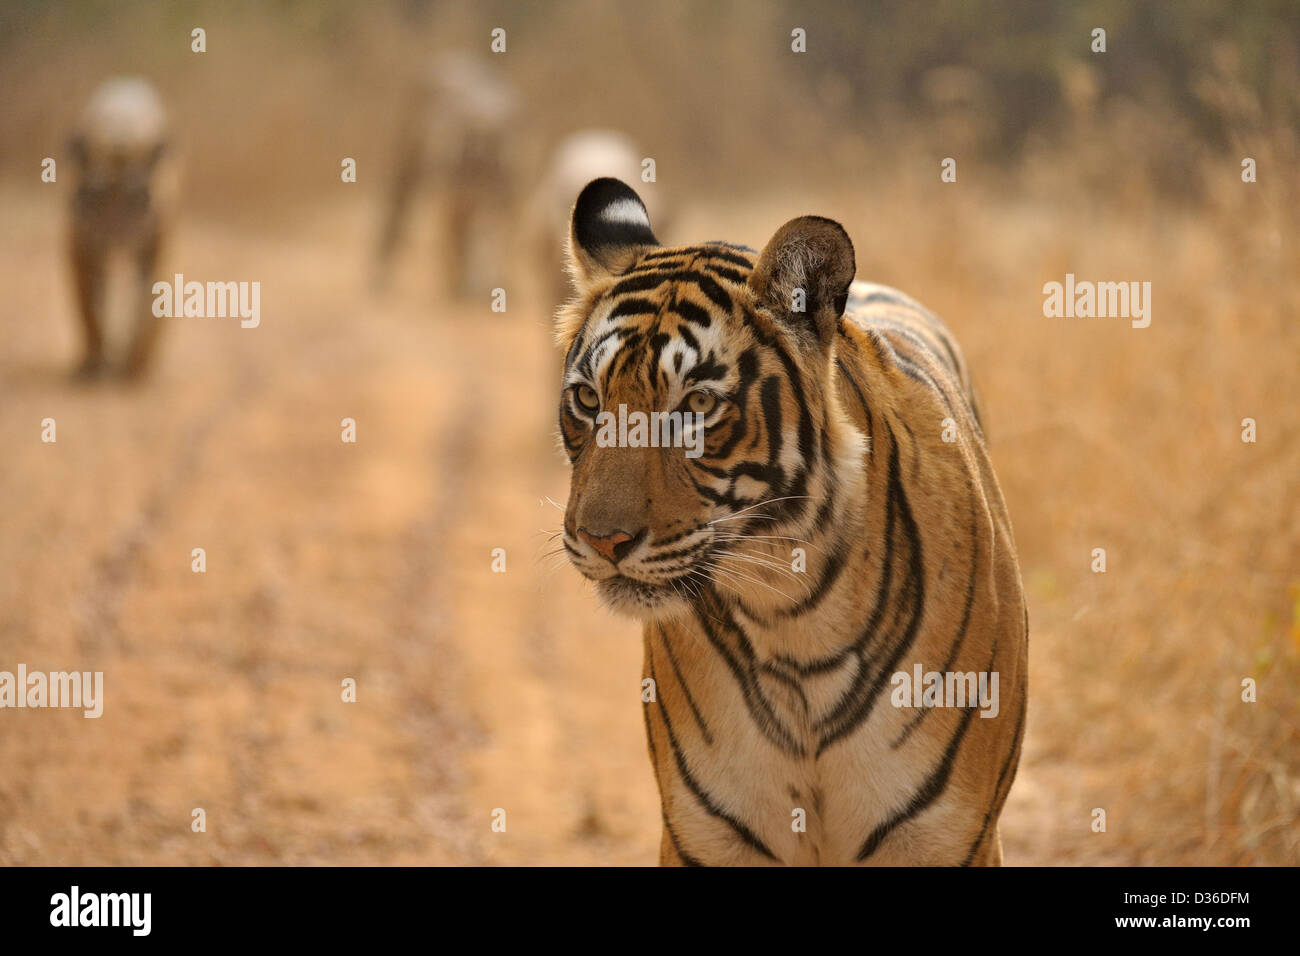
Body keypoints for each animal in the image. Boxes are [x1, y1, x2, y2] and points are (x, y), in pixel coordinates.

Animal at [67, 77, 174, 380]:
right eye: (94, 194)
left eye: (139, 198)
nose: (116, 235)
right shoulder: (81, 244)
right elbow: (88, 304)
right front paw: (94, 365)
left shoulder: (154, 246)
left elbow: (147, 303)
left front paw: (135, 367)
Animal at [555, 178, 1028, 866]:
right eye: (589, 399)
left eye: (697, 404)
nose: (601, 540)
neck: (791, 615)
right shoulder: (710, 836)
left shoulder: (946, 835)